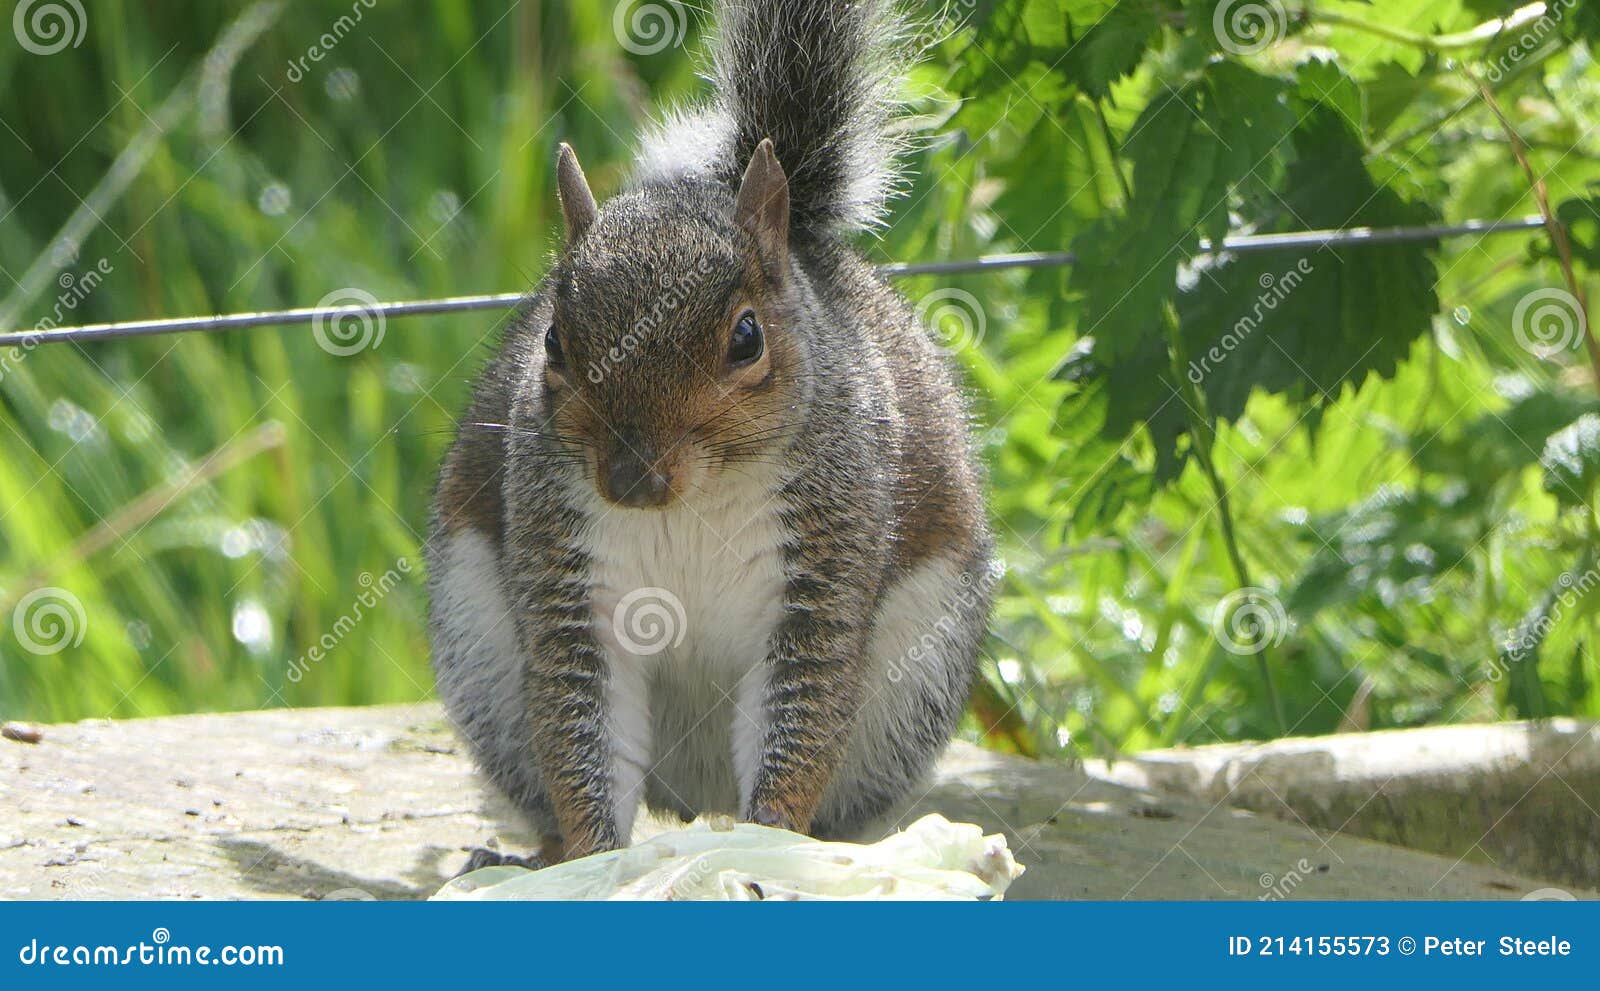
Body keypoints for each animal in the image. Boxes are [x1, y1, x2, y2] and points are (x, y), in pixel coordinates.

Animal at [427, 0, 994, 869]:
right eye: (553, 341)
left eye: (747, 339)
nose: (631, 480)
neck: (693, 501)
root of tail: (695, 799)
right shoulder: (572, 584)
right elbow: (581, 726)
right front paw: (595, 861)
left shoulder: (819, 573)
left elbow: (801, 713)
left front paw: (769, 848)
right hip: (480, 651)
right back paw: (534, 853)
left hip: (914, 681)